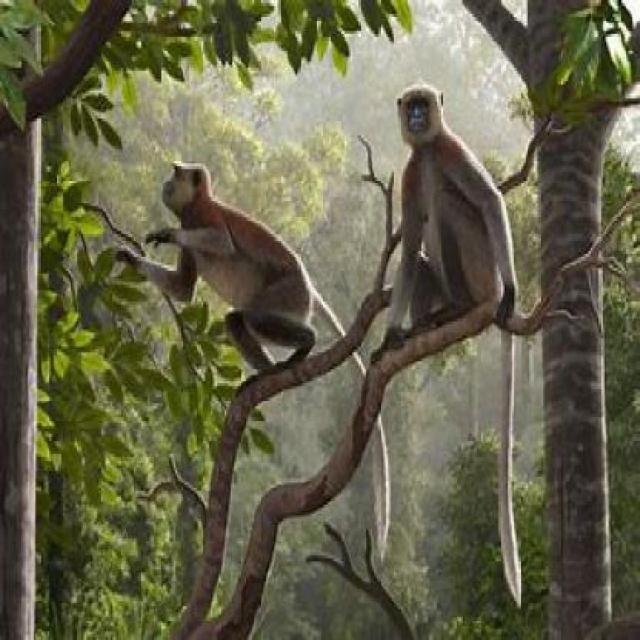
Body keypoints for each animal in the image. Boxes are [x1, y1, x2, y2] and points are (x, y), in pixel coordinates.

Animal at [115, 161, 390, 553]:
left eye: (177, 173)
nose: (167, 181)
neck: (195, 208)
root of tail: (308, 287)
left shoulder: (205, 216)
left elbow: (222, 242)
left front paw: (169, 234)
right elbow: (182, 291)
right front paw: (130, 257)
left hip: (287, 293)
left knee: (255, 316)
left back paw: (304, 345)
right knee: (237, 320)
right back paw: (267, 373)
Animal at [381, 83, 521, 606]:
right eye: (413, 107)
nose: (420, 117)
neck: (427, 150)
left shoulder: (447, 149)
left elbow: (489, 201)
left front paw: (516, 289)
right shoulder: (413, 167)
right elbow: (408, 245)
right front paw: (390, 334)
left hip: (481, 267)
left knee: (448, 202)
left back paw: (467, 305)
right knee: (422, 259)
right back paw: (428, 319)